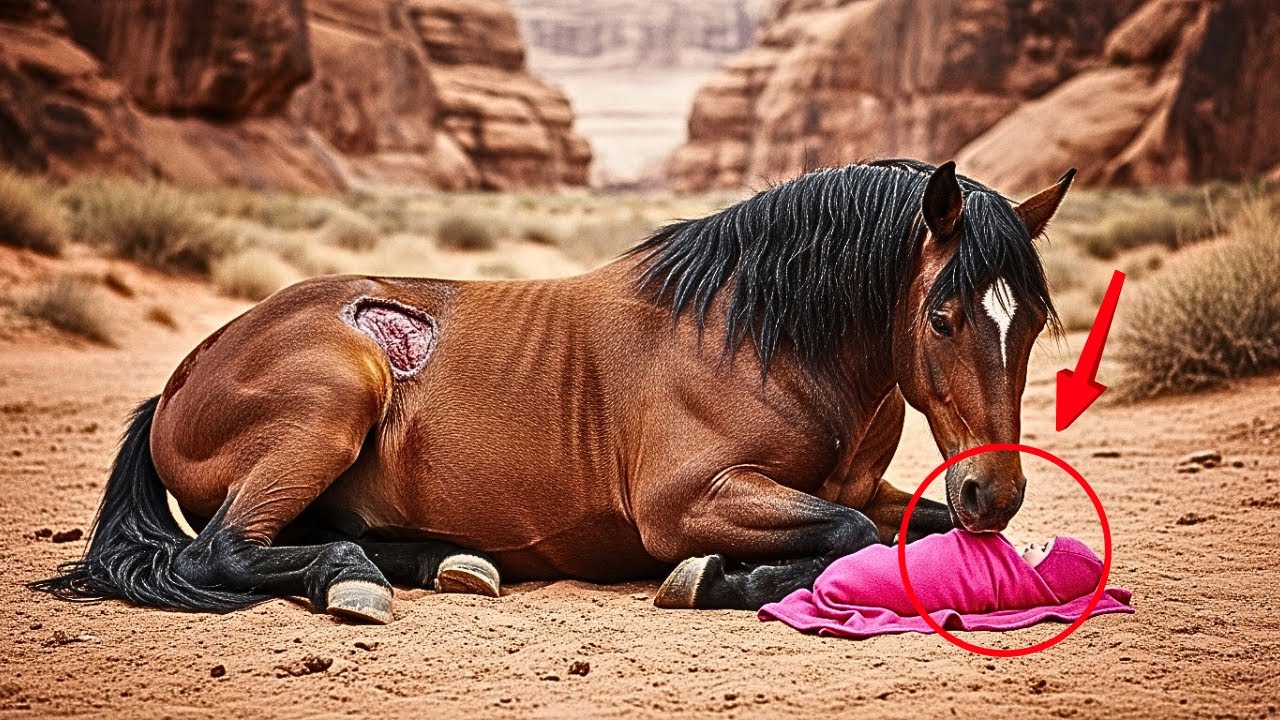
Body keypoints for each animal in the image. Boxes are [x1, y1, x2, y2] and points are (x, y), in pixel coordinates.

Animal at [33, 159, 1072, 623]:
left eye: (1028, 321)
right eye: (943, 317)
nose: (996, 491)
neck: (762, 335)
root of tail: (180, 377)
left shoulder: (877, 490)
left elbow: (905, 526)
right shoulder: (687, 502)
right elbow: (850, 536)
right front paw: (715, 579)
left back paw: (444, 562)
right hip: (332, 399)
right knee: (223, 551)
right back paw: (354, 580)